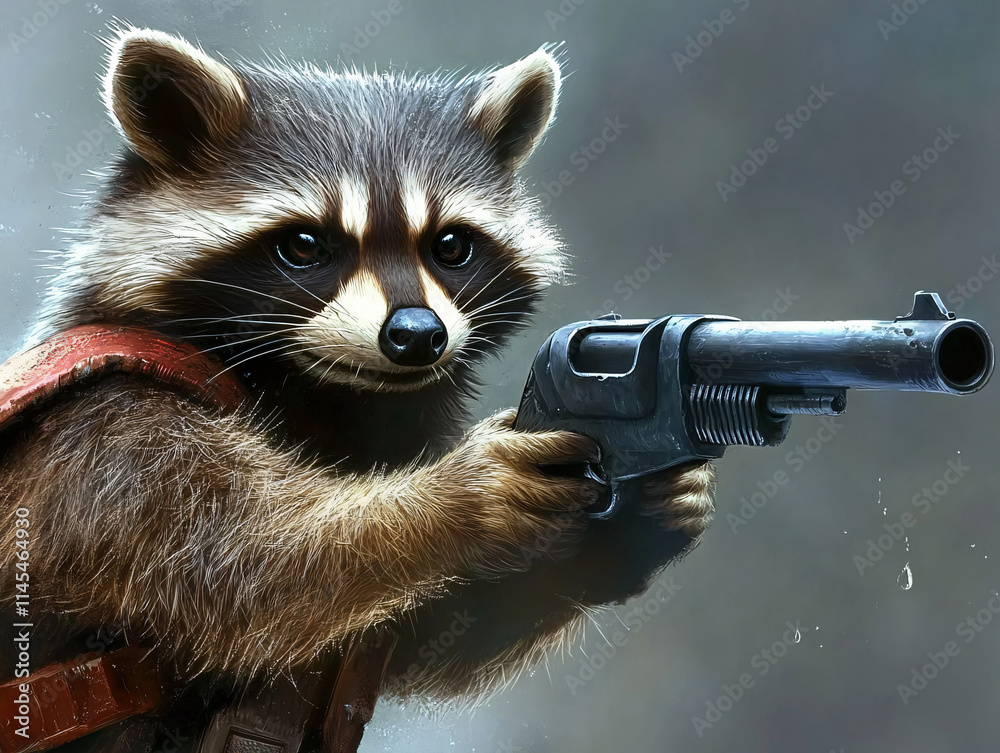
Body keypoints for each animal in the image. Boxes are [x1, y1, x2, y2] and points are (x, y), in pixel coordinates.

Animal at [0, 27, 715, 750]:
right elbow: (243, 573)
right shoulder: (107, 427)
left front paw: (624, 529)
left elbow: (423, 636)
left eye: (450, 246)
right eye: (304, 245)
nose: (418, 335)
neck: (324, 392)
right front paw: (455, 500)